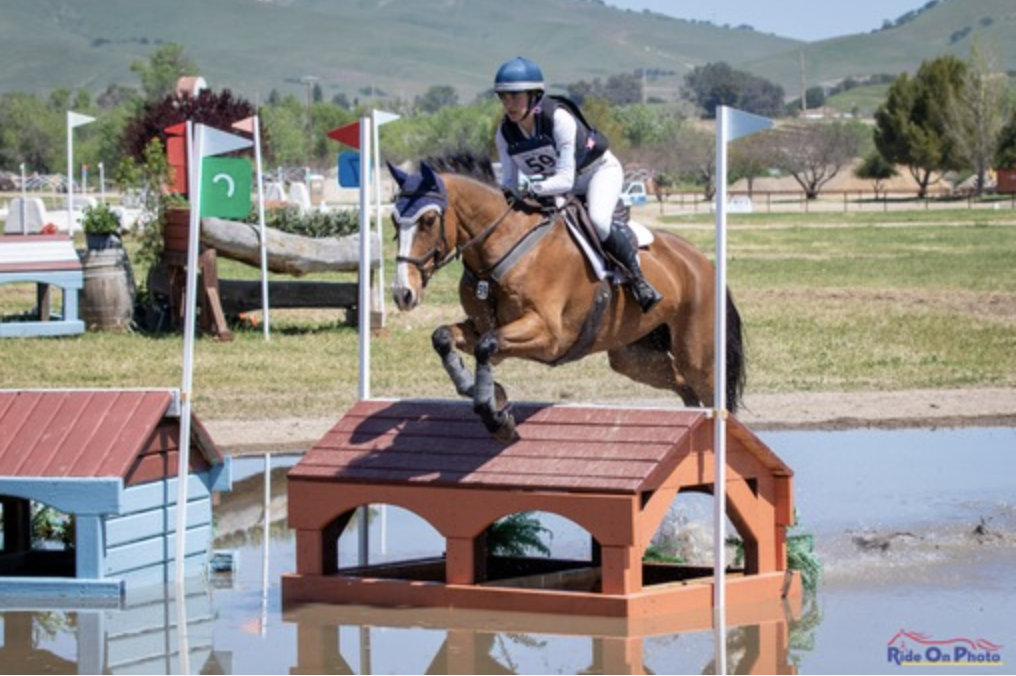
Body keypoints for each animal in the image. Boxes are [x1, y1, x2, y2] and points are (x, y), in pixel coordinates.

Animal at [388, 157, 745, 441]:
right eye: (394, 220)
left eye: (428, 220)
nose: (403, 293)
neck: (503, 247)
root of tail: (703, 263)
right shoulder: (484, 326)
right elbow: (445, 337)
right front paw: (484, 394)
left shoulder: (549, 336)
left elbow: (487, 346)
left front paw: (495, 415)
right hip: (633, 357)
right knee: (683, 386)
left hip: (697, 355)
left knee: (710, 393)